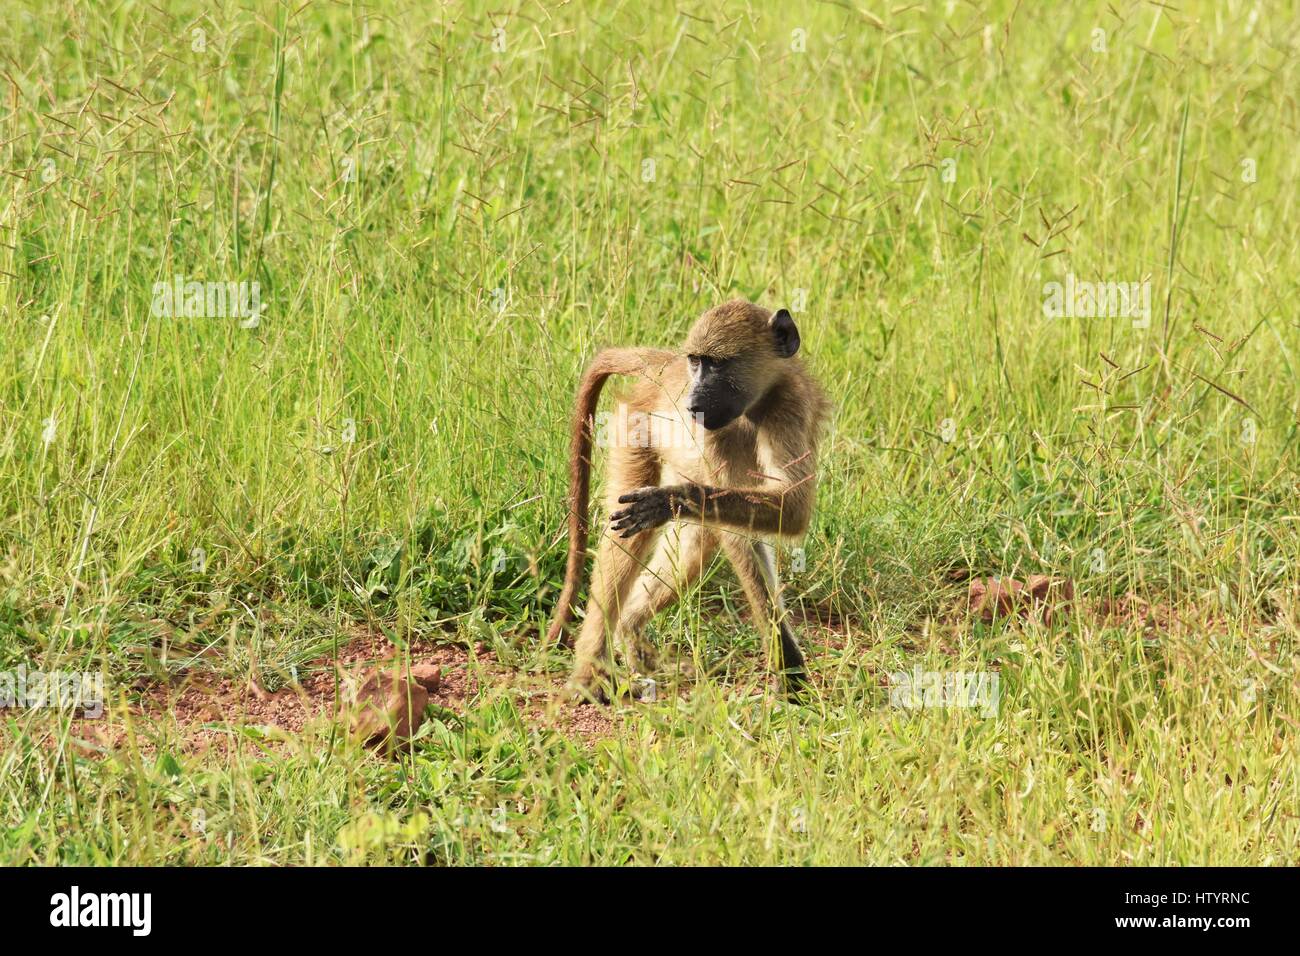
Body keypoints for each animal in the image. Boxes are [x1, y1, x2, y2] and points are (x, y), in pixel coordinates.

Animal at [546, 299, 830, 703]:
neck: (753, 409)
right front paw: (789, 673)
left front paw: (667, 501)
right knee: (627, 540)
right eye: (697, 361)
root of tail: (662, 367)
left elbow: (789, 509)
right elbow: (746, 536)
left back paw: (630, 631)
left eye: (719, 363)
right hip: (634, 426)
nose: (693, 402)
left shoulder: (790, 406)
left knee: (697, 541)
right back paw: (590, 672)